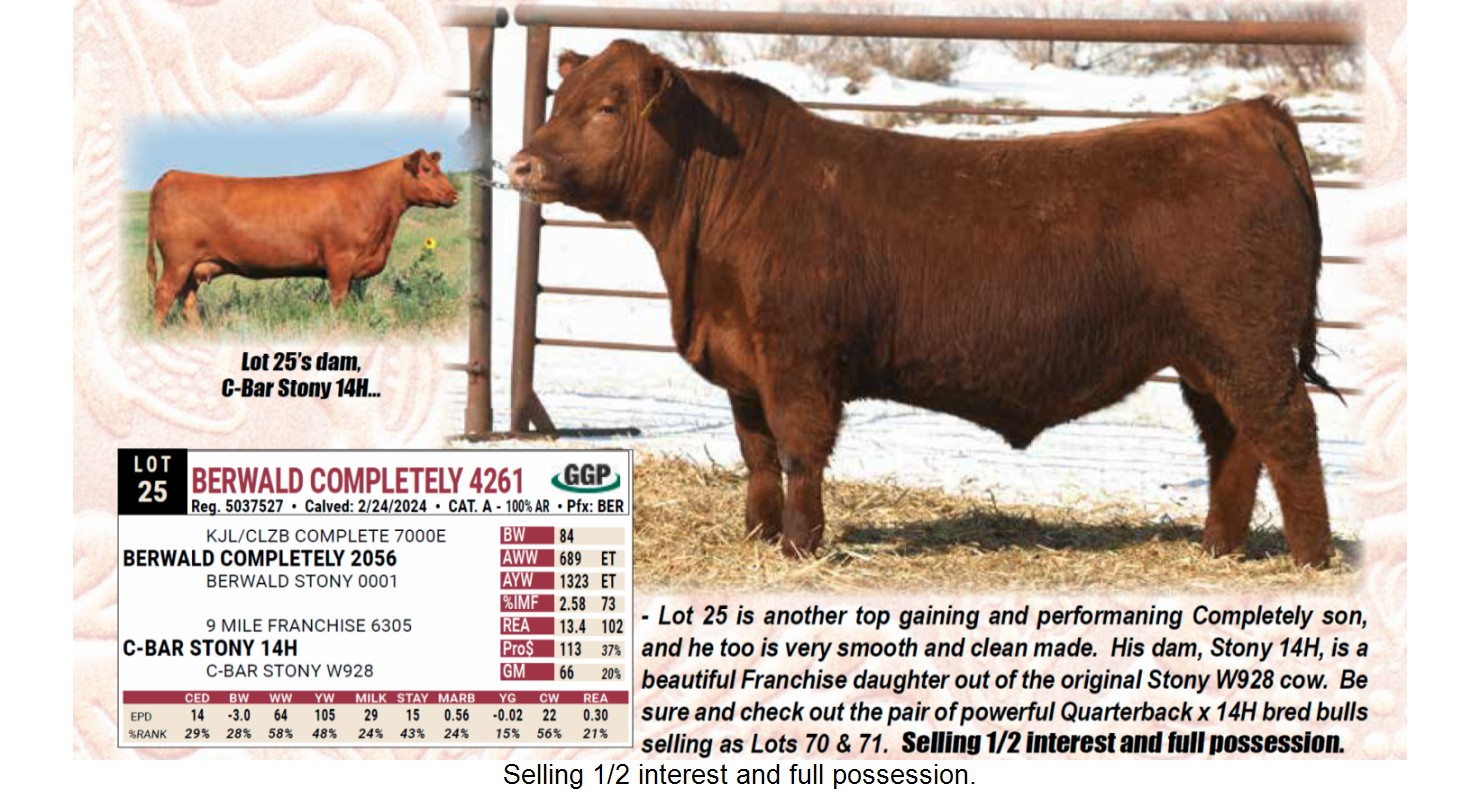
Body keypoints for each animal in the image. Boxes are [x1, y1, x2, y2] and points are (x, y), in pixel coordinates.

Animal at [145, 149, 459, 327]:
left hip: (193, 266)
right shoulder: (340, 259)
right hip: (178, 260)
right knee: (164, 294)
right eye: (426, 170)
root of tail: (172, 174)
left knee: (186, 299)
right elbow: (338, 299)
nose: (454, 195)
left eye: (438, 168)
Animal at [509, 41, 1340, 566]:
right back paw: (1219, 548)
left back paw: (1310, 559)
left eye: (609, 106)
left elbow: (799, 451)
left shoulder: (800, 362)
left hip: (1249, 346)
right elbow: (757, 457)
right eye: (560, 99)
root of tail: (1241, 116)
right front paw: (757, 538)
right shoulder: (742, 366)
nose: (521, 165)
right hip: (1206, 356)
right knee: (1233, 441)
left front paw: (800, 547)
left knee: (1288, 434)